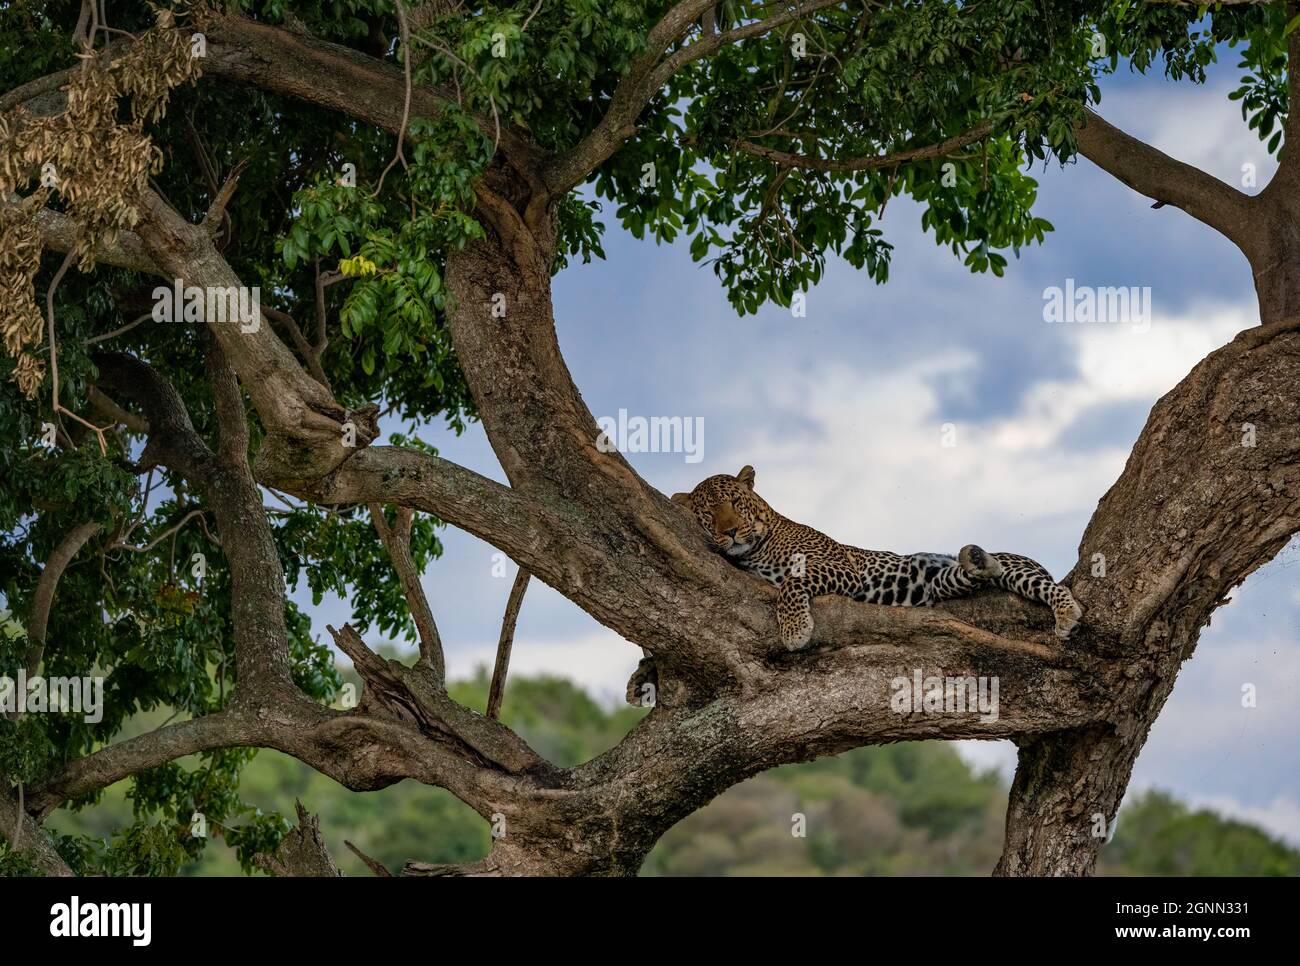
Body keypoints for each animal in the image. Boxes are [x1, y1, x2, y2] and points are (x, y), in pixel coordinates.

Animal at [670, 464, 1083, 651]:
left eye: (734, 503)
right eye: (708, 514)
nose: (730, 531)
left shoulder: (840, 566)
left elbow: (791, 581)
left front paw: (794, 629)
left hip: (1020, 569)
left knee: (1047, 586)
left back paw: (1066, 613)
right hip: (936, 585)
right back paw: (977, 561)